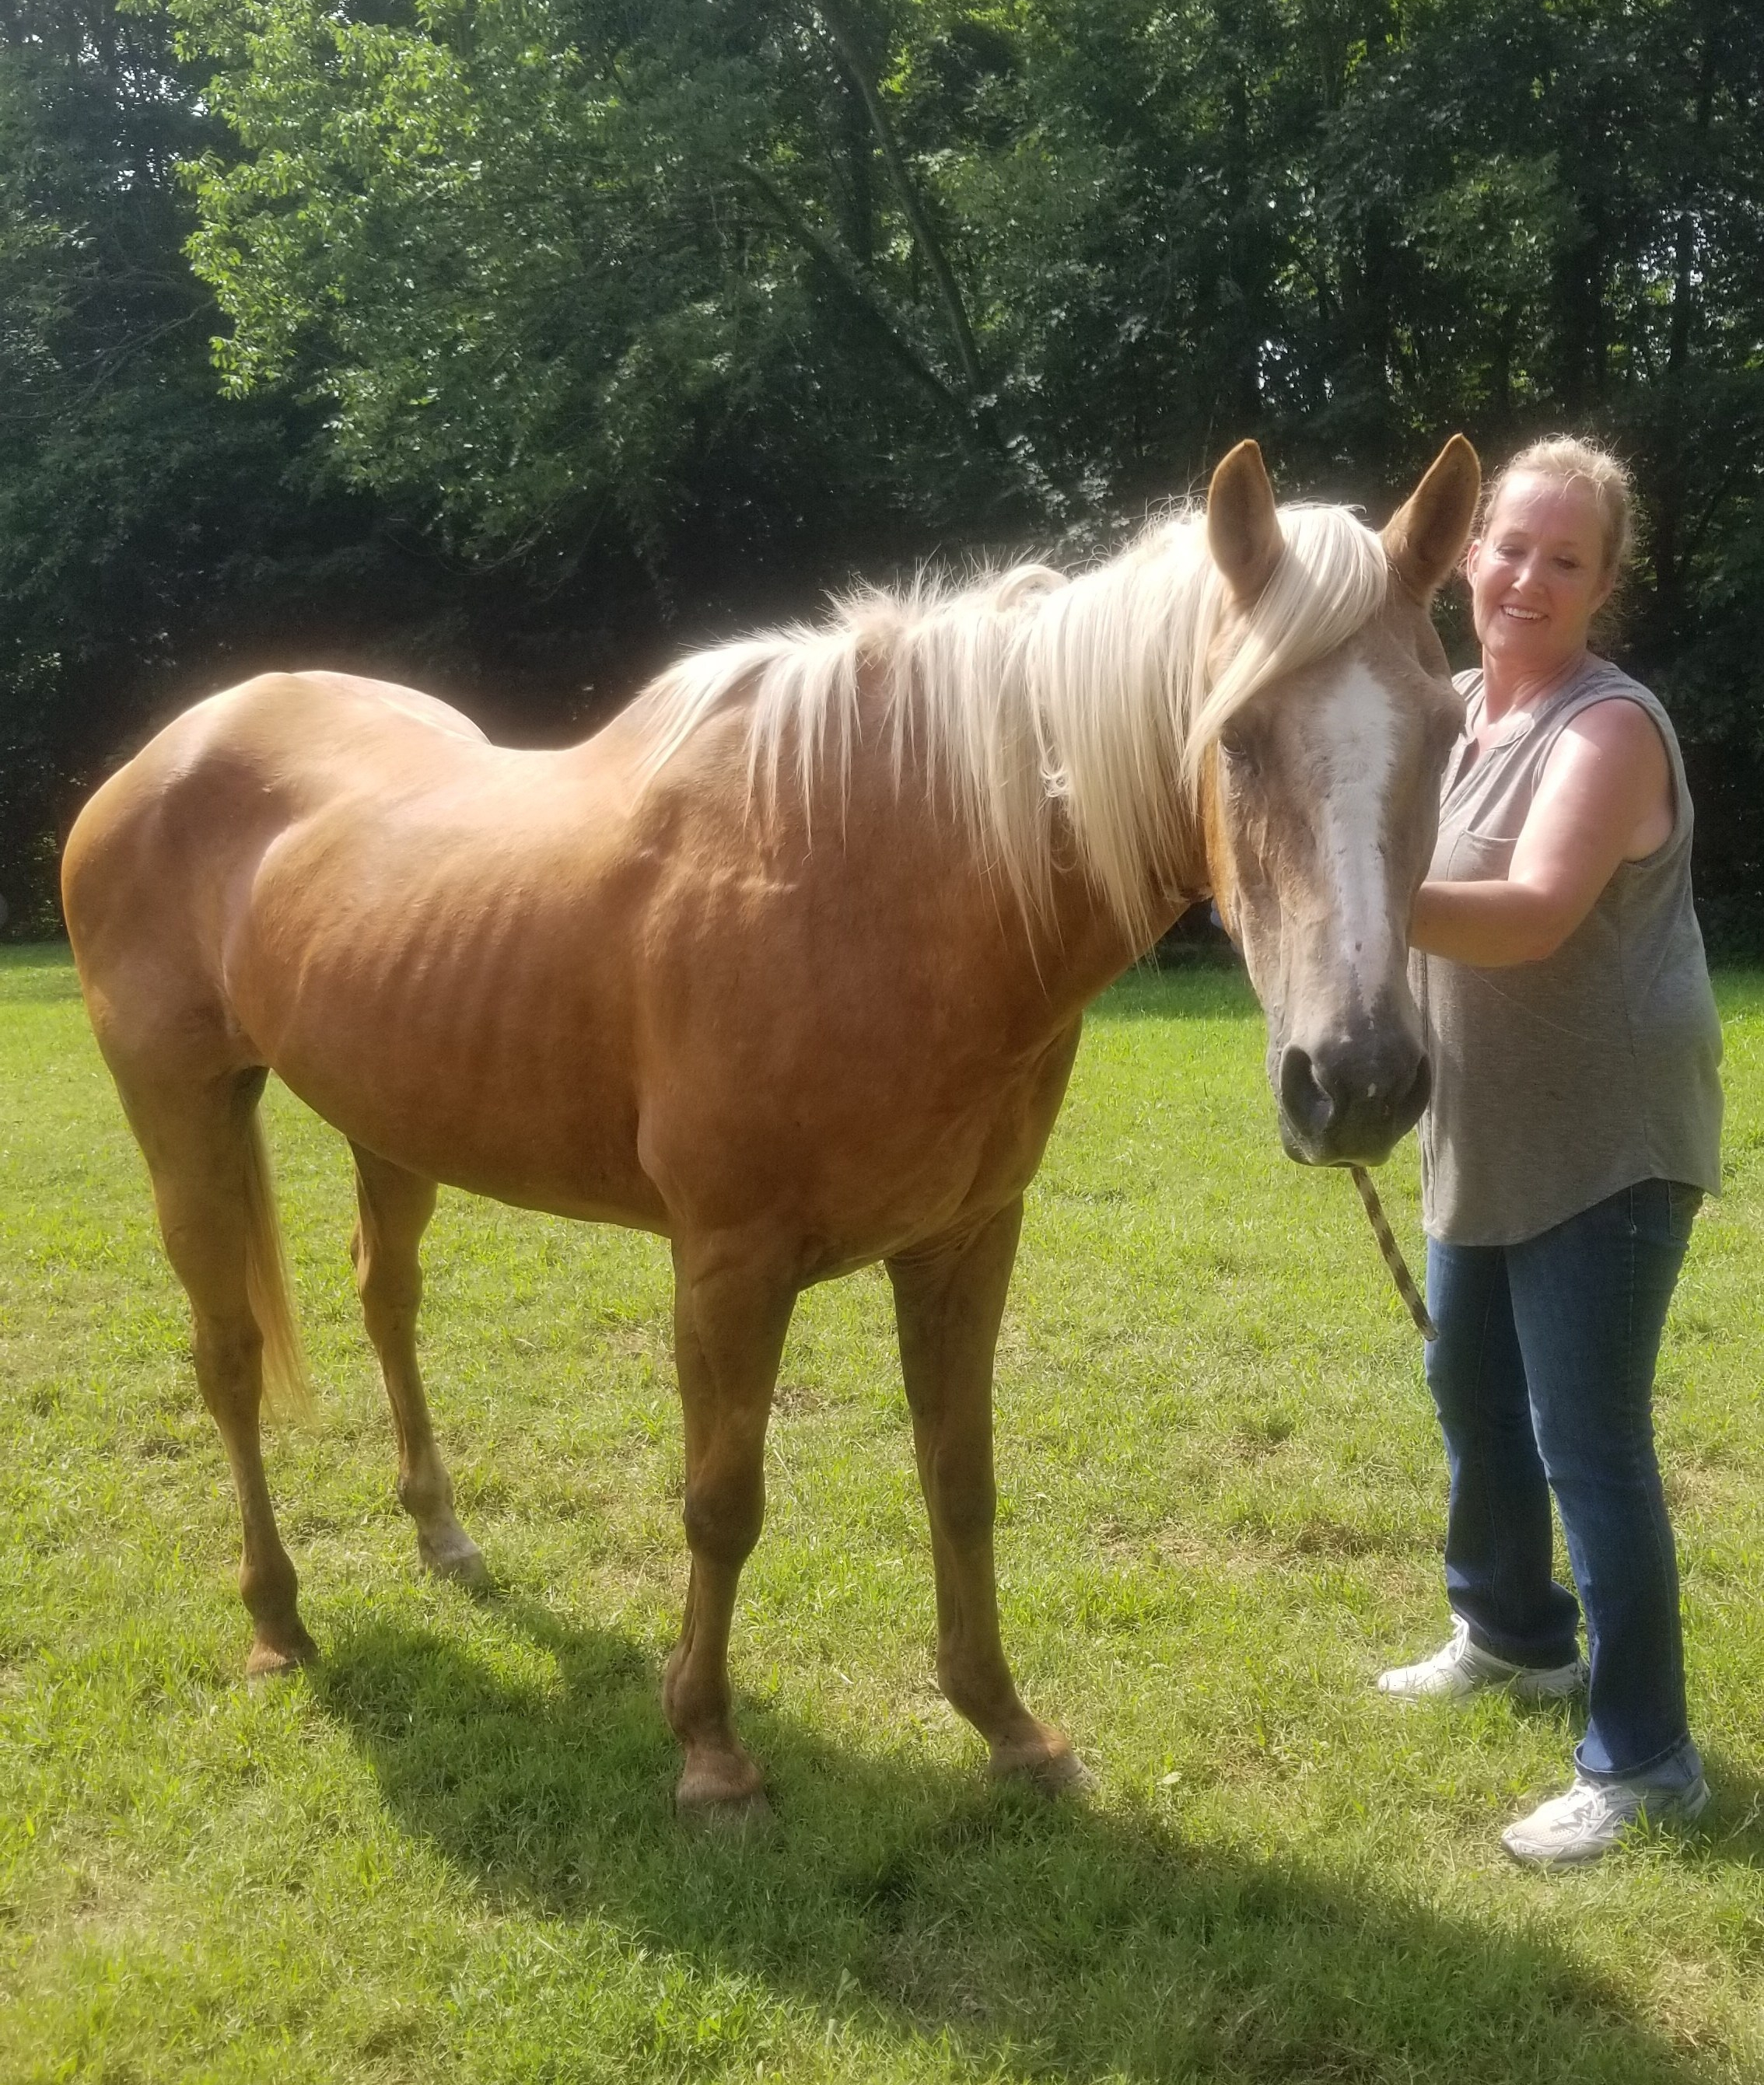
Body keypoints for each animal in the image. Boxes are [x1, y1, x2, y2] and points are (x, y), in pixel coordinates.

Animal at [62, 436, 1479, 1818]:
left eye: (1449, 726)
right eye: (1235, 733)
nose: (1354, 1079)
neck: (879, 864)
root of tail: (161, 756)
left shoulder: (966, 1242)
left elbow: (960, 1479)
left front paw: (1008, 1728)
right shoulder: (730, 1262)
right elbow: (721, 1502)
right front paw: (709, 1750)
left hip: (390, 1126)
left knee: (384, 1298)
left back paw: (441, 1534)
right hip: (181, 1116)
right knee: (230, 1359)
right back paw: (277, 1621)